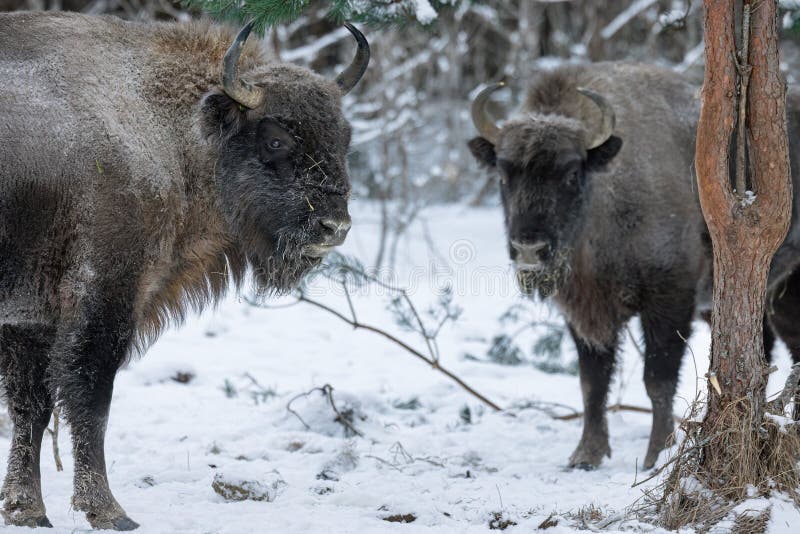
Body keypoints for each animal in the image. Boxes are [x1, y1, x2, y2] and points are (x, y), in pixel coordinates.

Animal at [0, 12, 368, 529]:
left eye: (344, 137)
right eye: (276, 138)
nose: (334, 226)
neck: (171, 127)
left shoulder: (27, 317)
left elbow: (29, 407)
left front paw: (25, 510)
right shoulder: (105, 296)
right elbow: (90, 400)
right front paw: (109, 512)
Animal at [468, 63, 800, 470]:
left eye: (571, 174)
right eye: (503, 175)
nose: (529, 249)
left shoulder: (668, 302)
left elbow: (657, 380)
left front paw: (657, 455)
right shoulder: (585, 317)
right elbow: (592, 382)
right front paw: (586, 455)